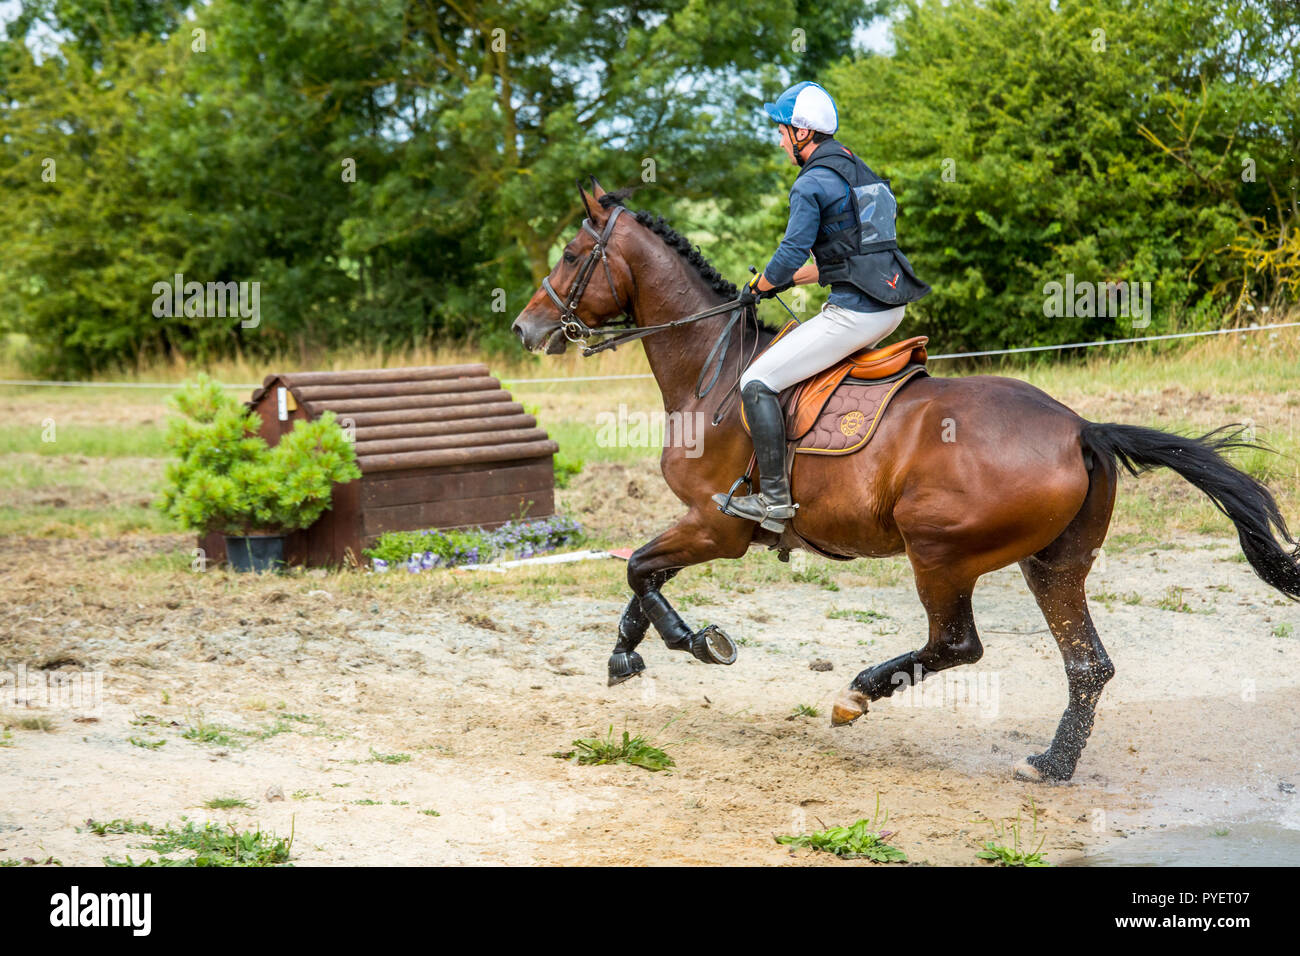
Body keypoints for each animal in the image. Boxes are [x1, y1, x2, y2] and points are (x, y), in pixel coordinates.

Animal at [510, 178, 1300, 782]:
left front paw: (696, 642)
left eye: (574, 255)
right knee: (1087, 665)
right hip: (1053, 564)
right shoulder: (709, 525)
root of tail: (1082, 428)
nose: (524, 329)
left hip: (940, 553)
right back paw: (1052, 764)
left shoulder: (718, 524)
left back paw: (858, 694)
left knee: (959, 646)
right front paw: (626, 654)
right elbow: (643, 575)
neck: (713, 367)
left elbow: (641, 570)